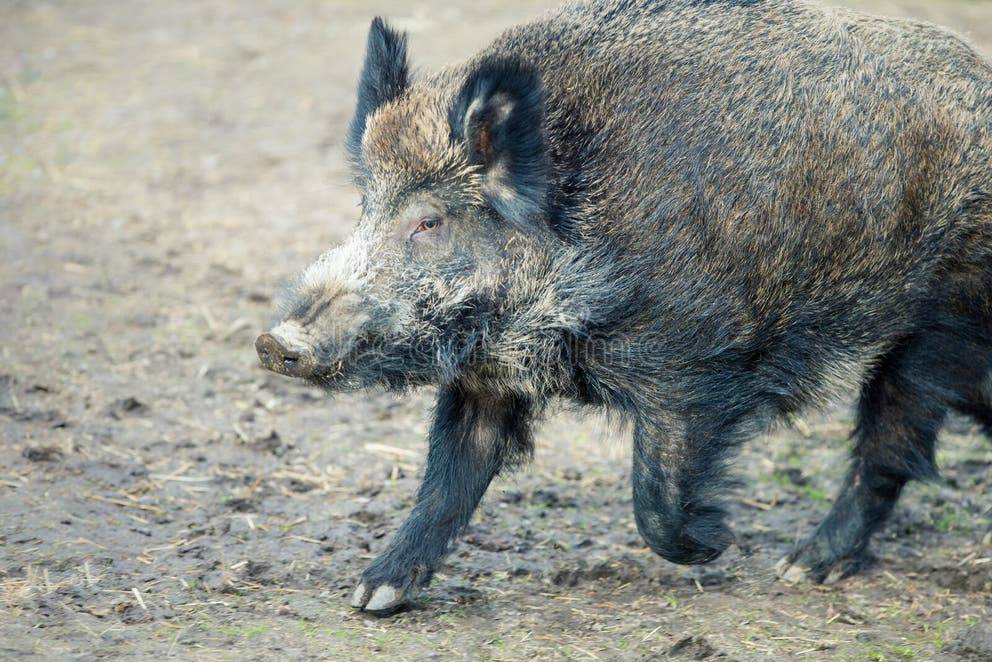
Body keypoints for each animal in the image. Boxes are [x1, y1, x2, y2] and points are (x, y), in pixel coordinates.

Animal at [255, 0, 992, 613]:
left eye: (429, 221)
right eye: (366, 206)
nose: (274, 343)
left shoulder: (694, 370)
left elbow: (655, 495)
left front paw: (718, 543)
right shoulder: (487, 379)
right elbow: (450, 478)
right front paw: (370, 596)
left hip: (933, 332)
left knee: (888, 448)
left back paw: (799, 568)